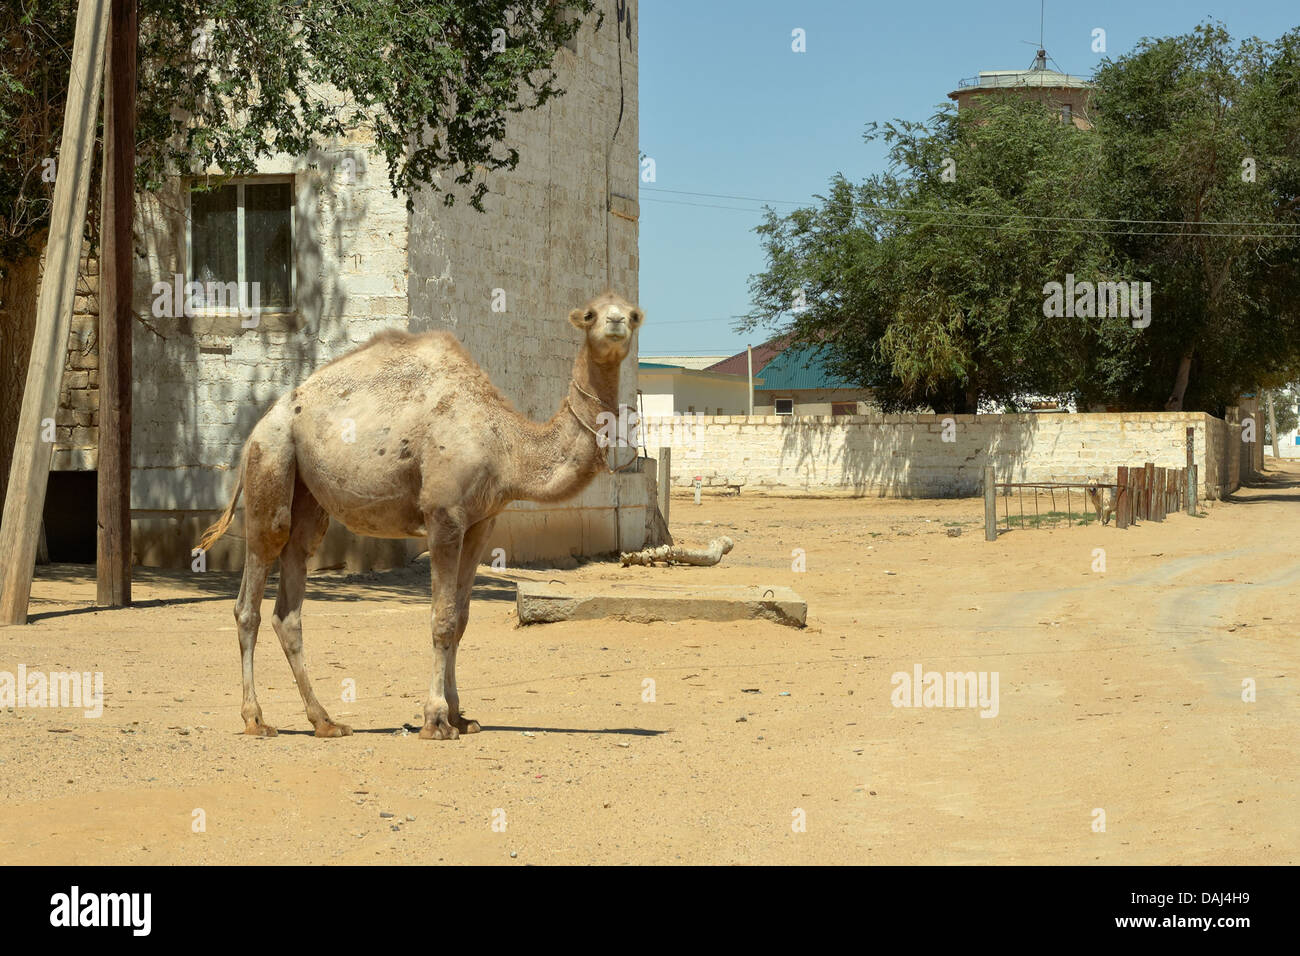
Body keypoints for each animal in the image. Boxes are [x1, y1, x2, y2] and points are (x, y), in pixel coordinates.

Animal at [198, 291, 643, 740]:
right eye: (590, 315)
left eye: (634, 314)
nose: (617, 322)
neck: (506, 446)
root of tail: (262, 421)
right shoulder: (443, 514)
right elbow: (441, 618)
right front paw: (436, 720)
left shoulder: (481, 521)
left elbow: (461, 617)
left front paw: (461, 716)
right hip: (271, 457)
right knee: (254, 586)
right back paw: (256, 718)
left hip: (306, 491)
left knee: (290, 596)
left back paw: (325, 720)